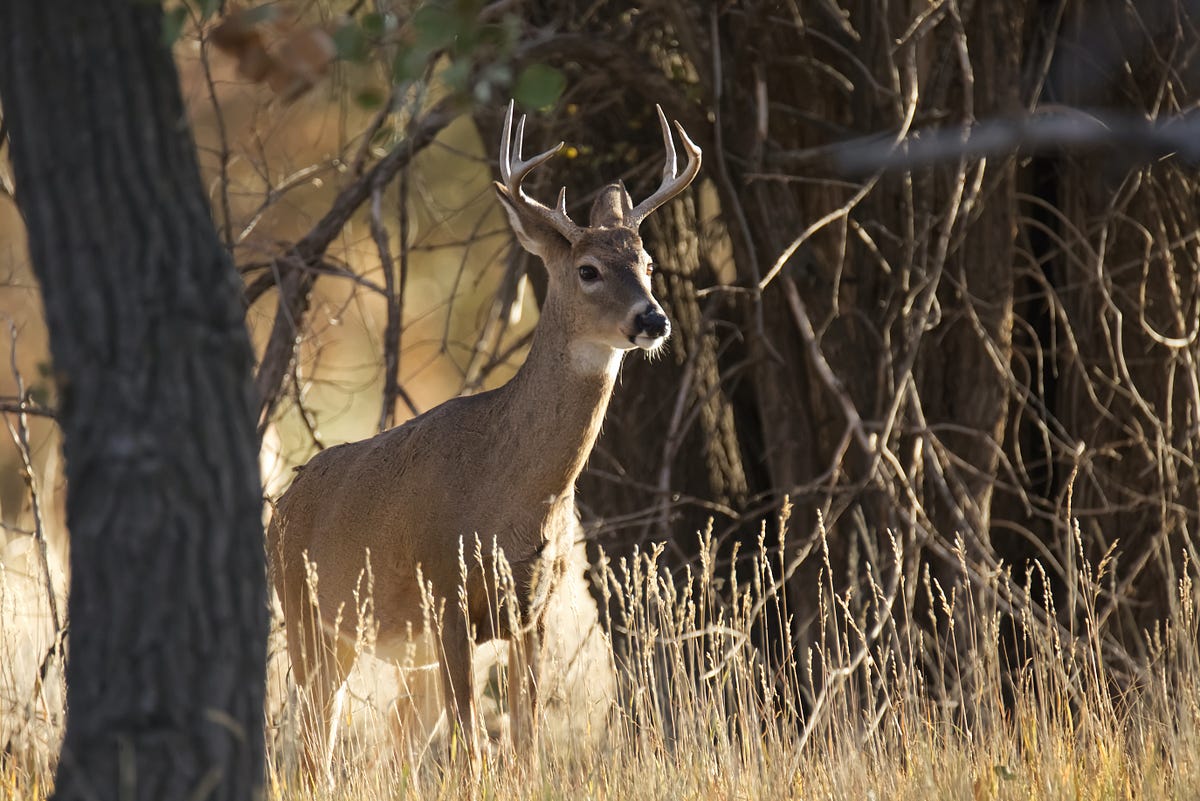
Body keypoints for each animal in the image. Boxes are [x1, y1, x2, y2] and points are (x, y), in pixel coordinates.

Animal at [267, 100, 701, 781]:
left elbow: (524, 746)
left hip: (392, 651)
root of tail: (279, 507)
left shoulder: (533, 613)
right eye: (588, 270)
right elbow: (472, 750)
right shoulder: (445, 593)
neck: (513, 497)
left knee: (385, 742)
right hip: (312, 620)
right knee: (314, 745)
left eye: (649, 264)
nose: (653, 319)